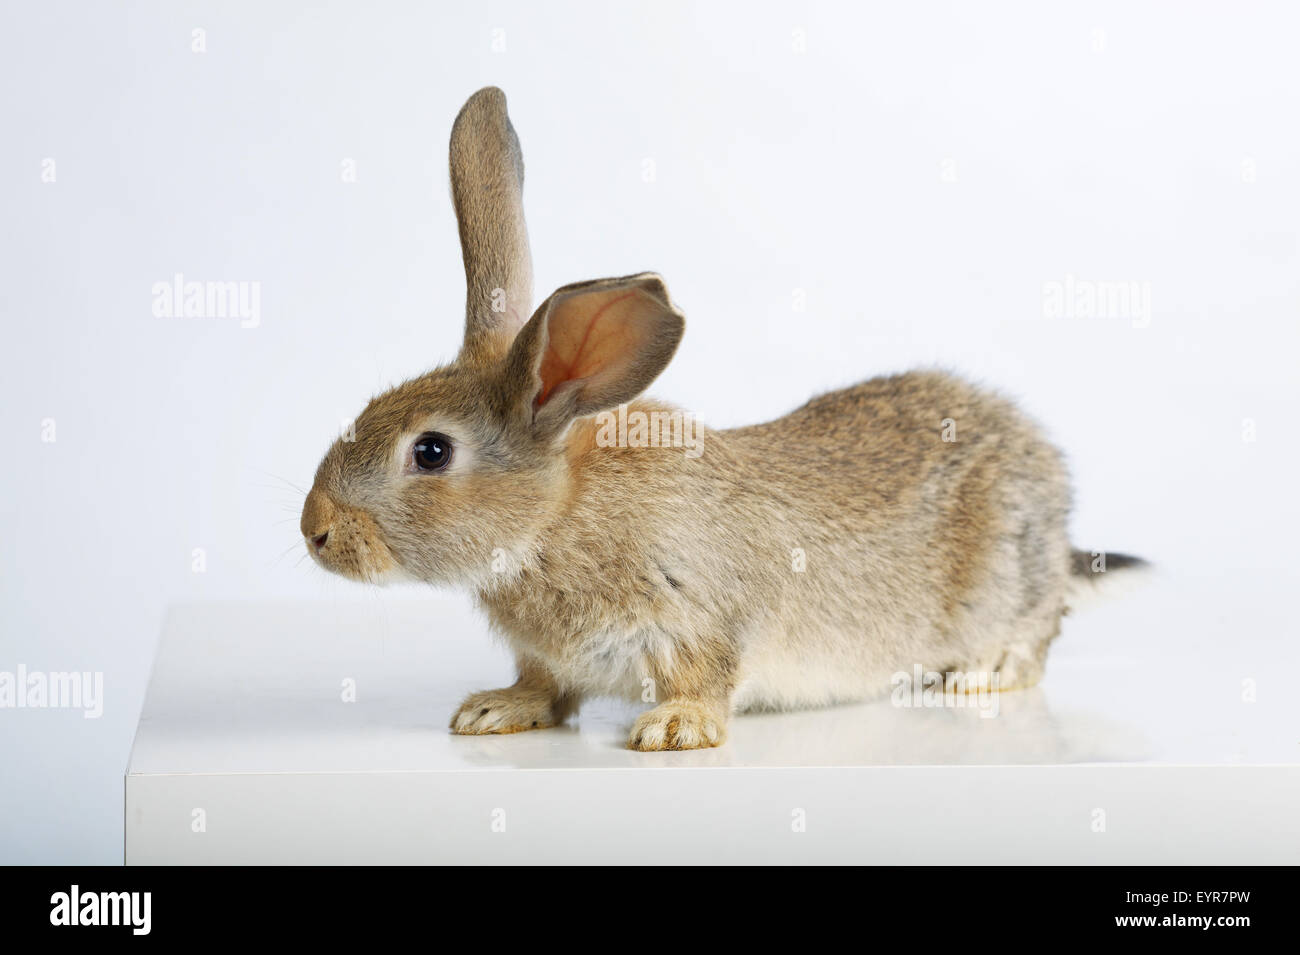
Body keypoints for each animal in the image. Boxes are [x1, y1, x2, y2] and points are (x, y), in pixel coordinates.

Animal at [300, 86, 1147, 751]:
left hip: (1008, 575)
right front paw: (495, 709)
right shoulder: (554, 654)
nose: (314, 529)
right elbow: (546, 685)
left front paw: (675, 727)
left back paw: (983, 673)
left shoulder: (694, 615)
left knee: (1037, 628)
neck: (555, 517)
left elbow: (702, 676)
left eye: (431, 452)